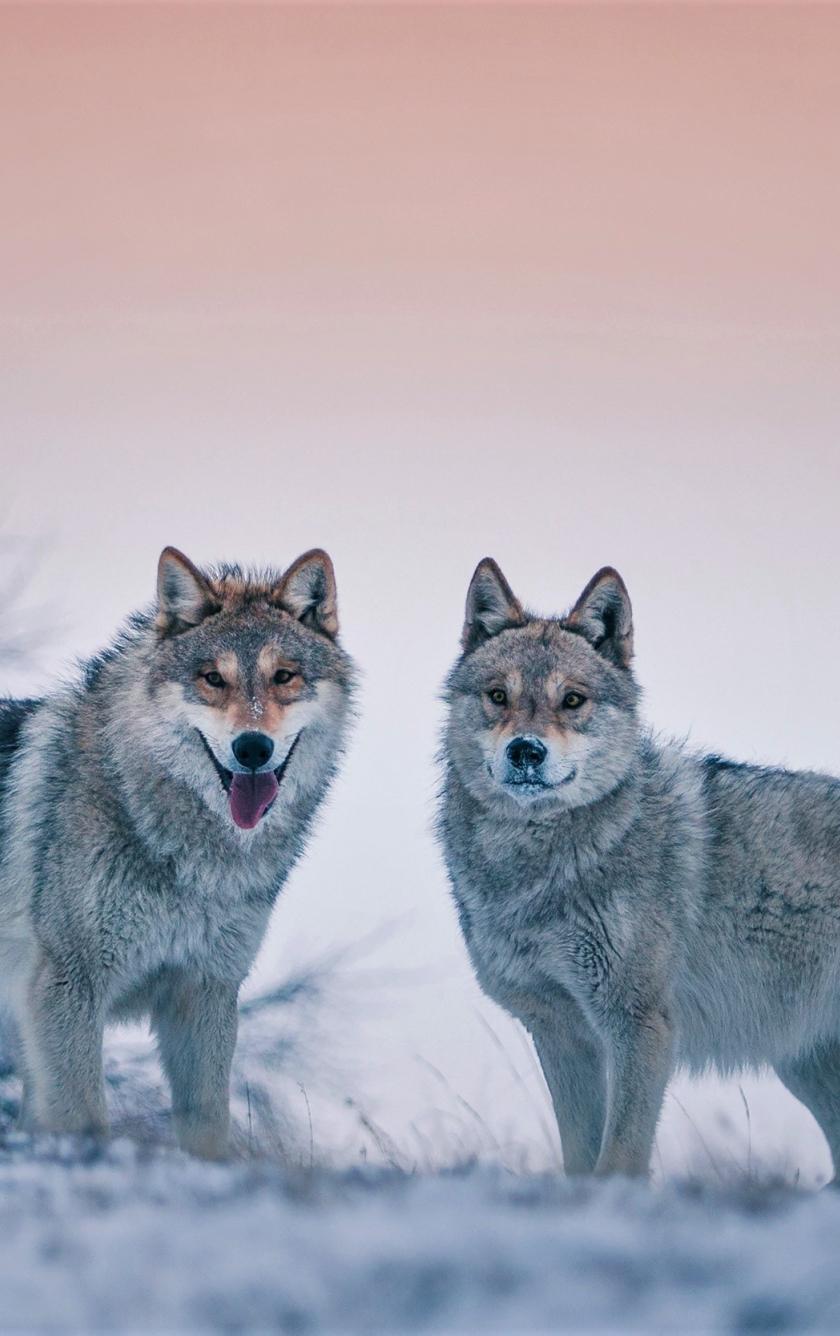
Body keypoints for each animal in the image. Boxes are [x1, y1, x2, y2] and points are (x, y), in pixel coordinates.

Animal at [0, 546, 354, 1157]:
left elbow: (207, 1122)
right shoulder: (65, 985)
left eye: (284, 676)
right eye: (213, 679)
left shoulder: (206, 991)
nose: (253, 747)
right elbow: (83, 1117)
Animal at [439, 558, 840, 1180]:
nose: (526, 751)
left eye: (572, 700)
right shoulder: (561, 1035)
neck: (535, 867)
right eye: (498, 696)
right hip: (804, 1063)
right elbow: (579, 1157)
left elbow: (620, 1157)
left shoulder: (638, 1024)